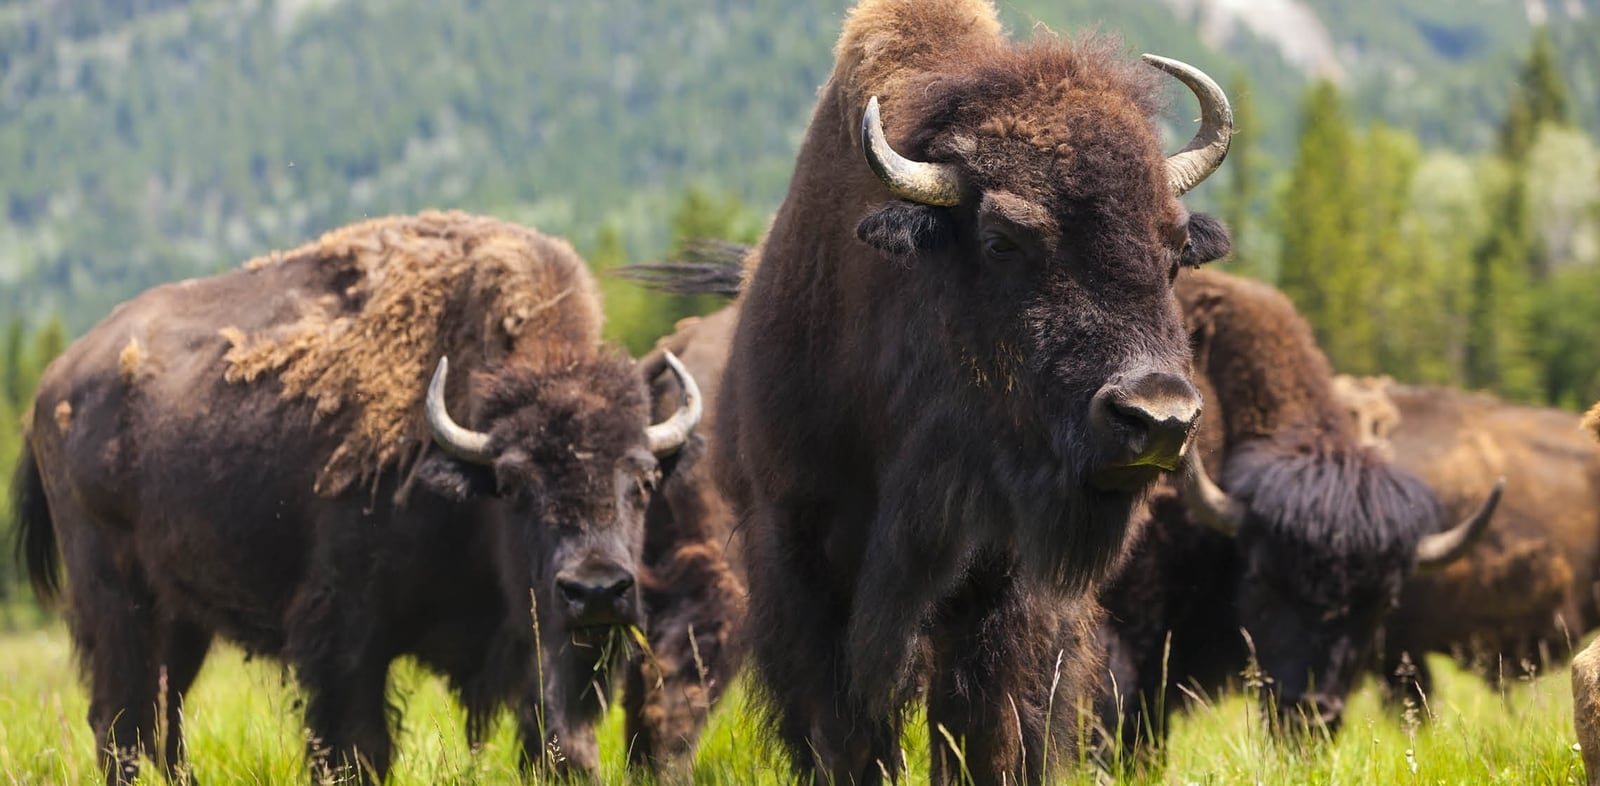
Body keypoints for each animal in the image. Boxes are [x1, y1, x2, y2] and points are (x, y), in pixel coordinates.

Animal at [11, 211, 702, 784]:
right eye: (512, 484)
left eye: (644, 480)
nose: (596, 590)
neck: (459, 467)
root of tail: (52, 385)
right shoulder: (345, 631)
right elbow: (356, 747)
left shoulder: (541, 645)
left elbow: (559, 739)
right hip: (116, 601)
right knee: (121, 721)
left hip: (181, 617)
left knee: (162, 716)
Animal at [713, 1, 1236, 782]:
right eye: (1002, 240)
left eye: (1173, 251)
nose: (1159, 417)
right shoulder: (800, 552)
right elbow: (844, 730)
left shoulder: (1003, 583)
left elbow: (986, 723)